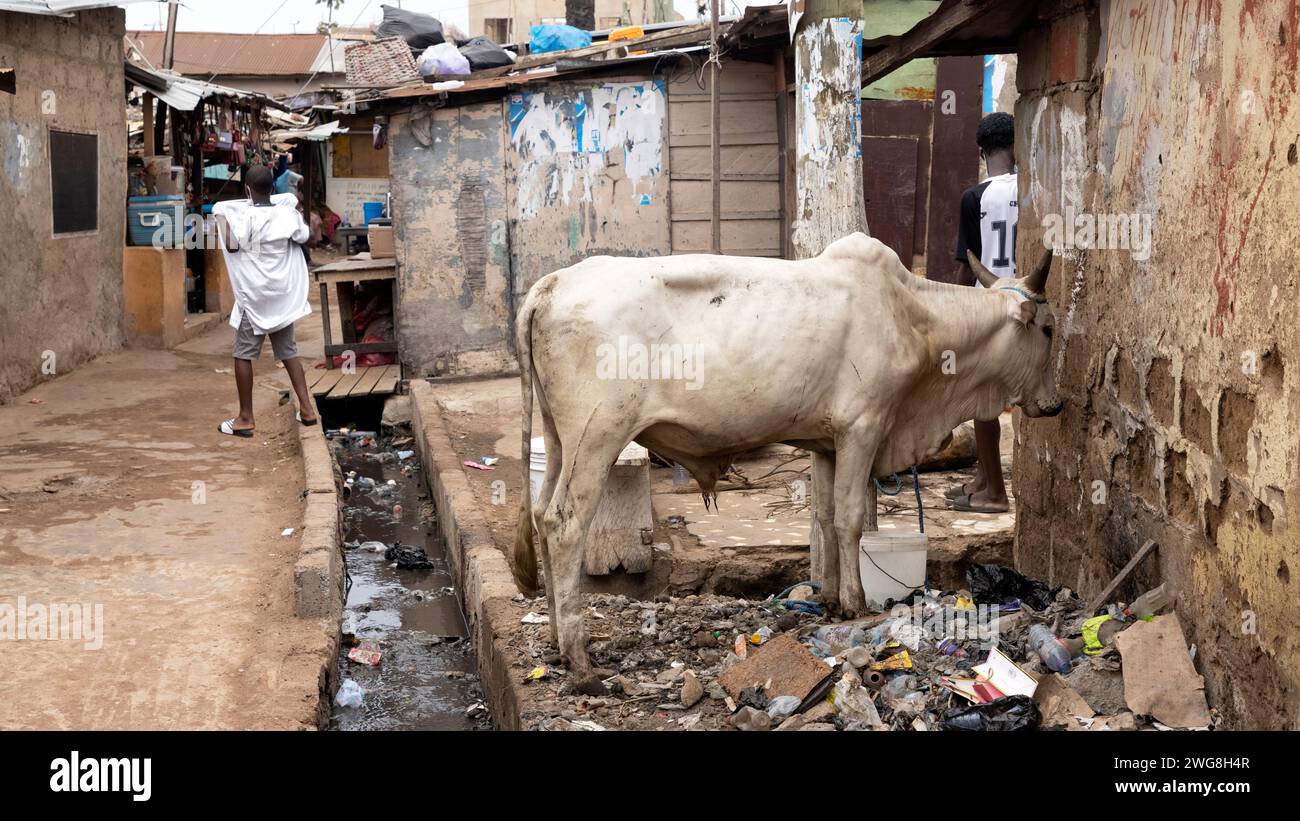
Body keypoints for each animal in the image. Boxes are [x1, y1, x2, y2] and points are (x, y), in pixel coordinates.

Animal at [510, 233, 1059, 693]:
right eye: (1050, 329)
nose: (1055, 404)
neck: (914, 317)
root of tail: (551, 285)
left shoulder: (828, 442)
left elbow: (826, 517)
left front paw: (831, 599)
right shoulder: (862, 427)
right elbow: (850, 518)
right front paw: (855, 604)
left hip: (560, 439)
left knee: (540, 515)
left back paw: (557, 643)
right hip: (597, 435)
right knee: (564, 525)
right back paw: (581, 664)